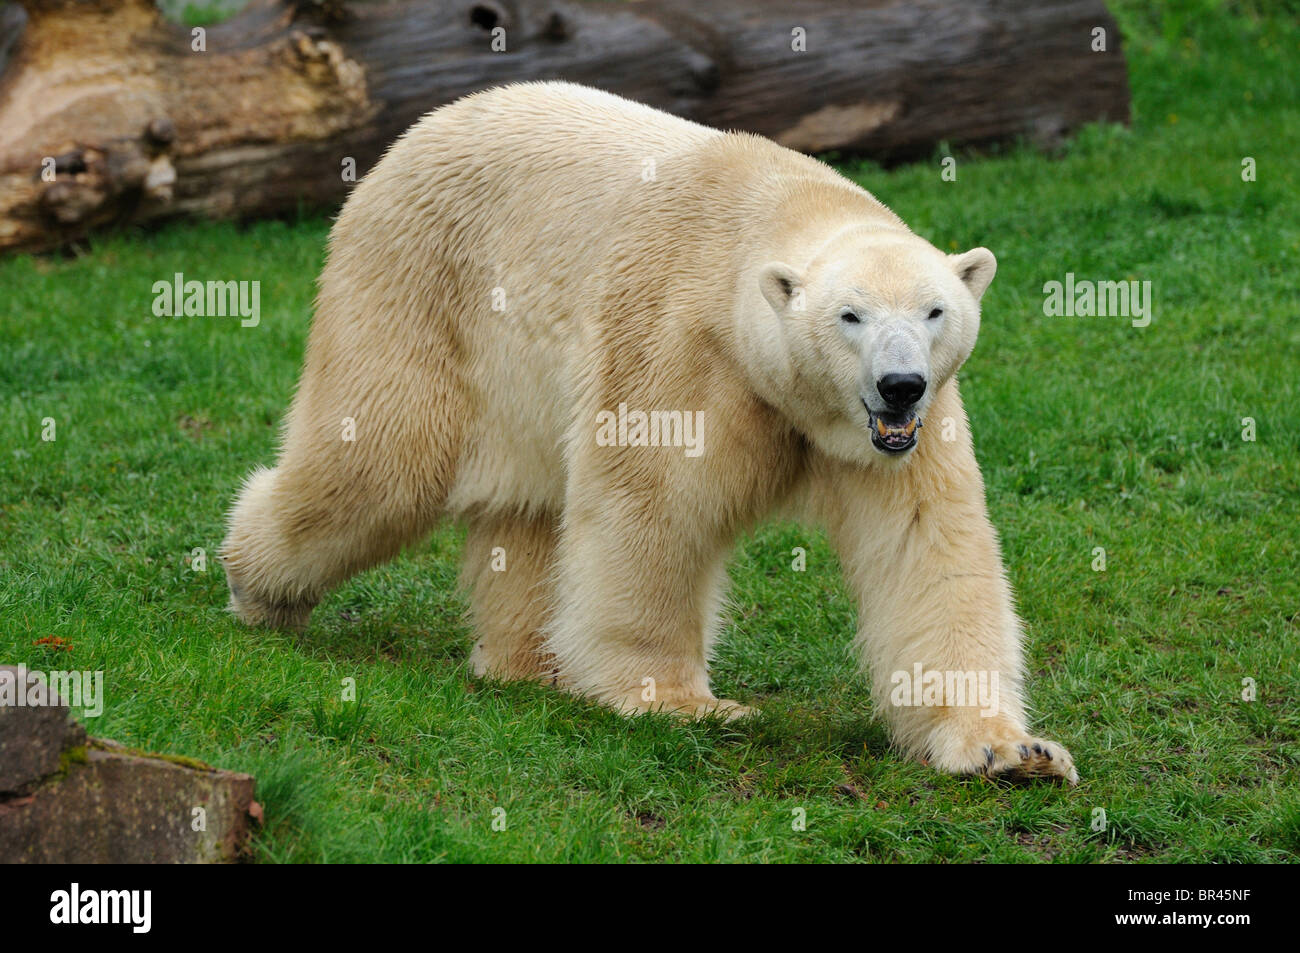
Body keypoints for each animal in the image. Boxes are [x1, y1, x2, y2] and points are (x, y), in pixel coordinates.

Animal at [221, 81, 1077, 785]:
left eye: (935, 311)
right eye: (850, 315)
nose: (900, 384)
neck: (768, 210)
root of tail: (410, 138)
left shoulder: (903, 437)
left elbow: (926, 545)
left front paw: (1012, 750)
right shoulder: (680, 345)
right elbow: (653, 505)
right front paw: (681, 701)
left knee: (525, 509)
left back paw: (530, 662)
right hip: (419, 285)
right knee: (379, 462)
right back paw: (255, 583)